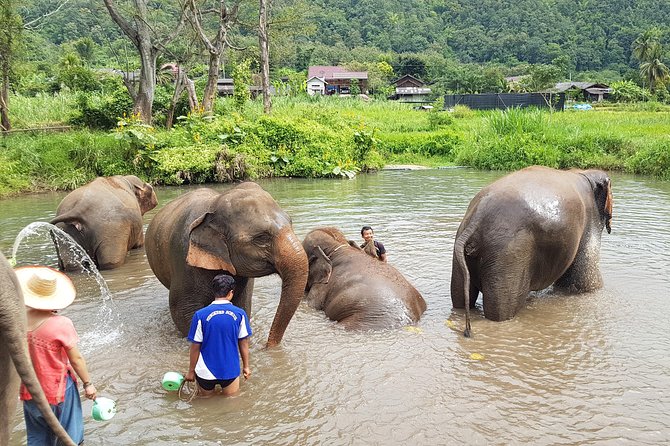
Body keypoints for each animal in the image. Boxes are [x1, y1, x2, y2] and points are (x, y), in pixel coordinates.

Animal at [145, 182, 308, 347]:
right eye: (261, 238)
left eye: (291, 222)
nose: (267, 347)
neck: (212, 205)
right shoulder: (183, 260)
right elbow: (183, 312)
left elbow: (242, 306)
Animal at [450, 165, 613, 337]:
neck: (583, 172)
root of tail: (478, 215)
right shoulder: (590, 221)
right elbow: (585, 279)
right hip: (509, 255)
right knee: (501, 311)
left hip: (465, 246)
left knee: (460, 297)